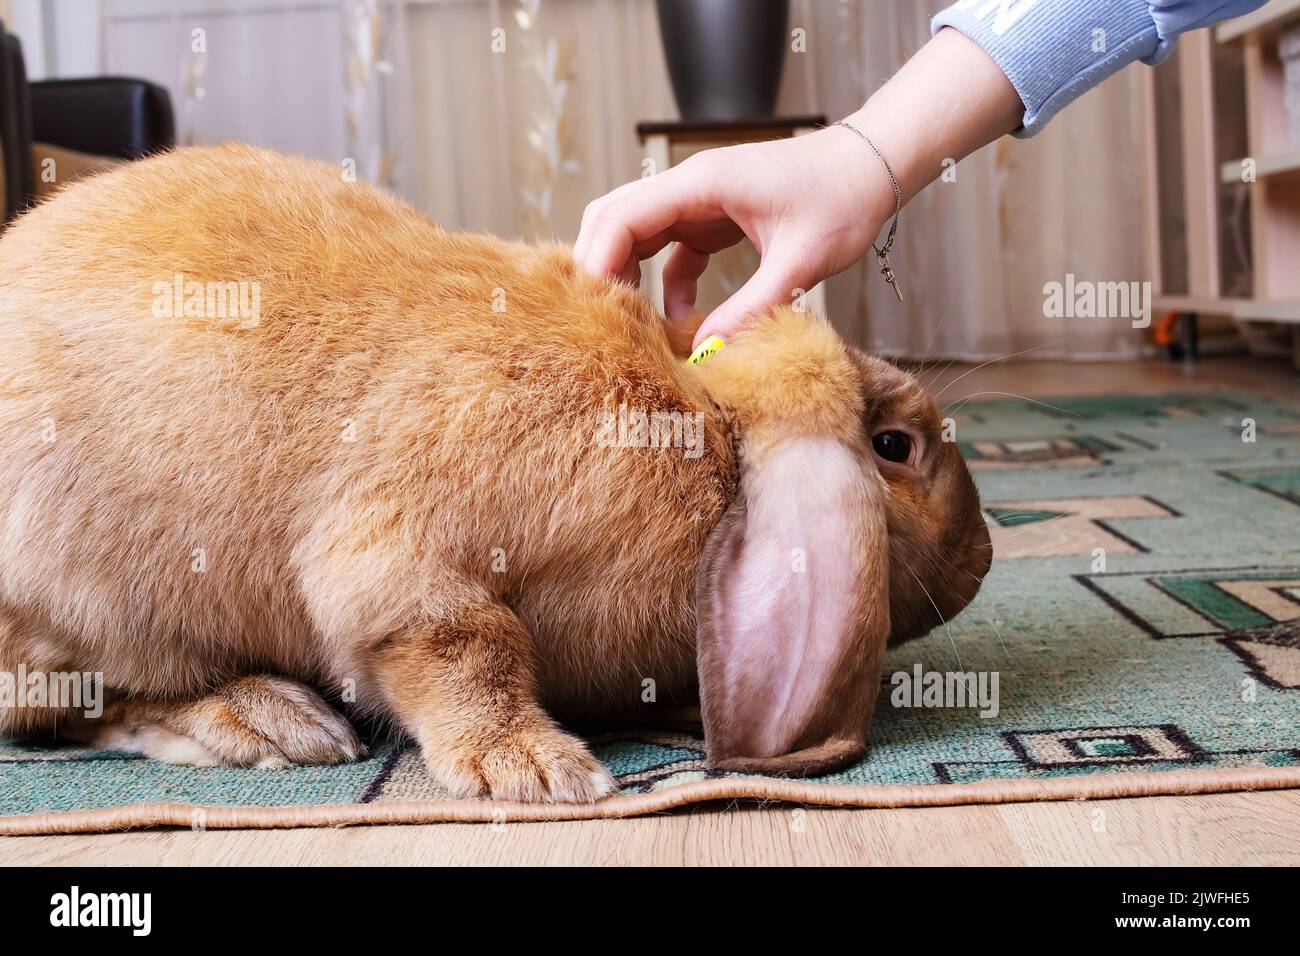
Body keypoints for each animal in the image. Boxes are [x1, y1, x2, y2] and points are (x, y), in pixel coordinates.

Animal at [0, 144, 991, 802]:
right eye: (896, 448)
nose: (984, 560)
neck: (712, 428)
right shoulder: (408, 574)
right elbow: (465, 646)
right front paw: (539, 773)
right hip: (84, 606)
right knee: (88, 707)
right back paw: (269, 724)